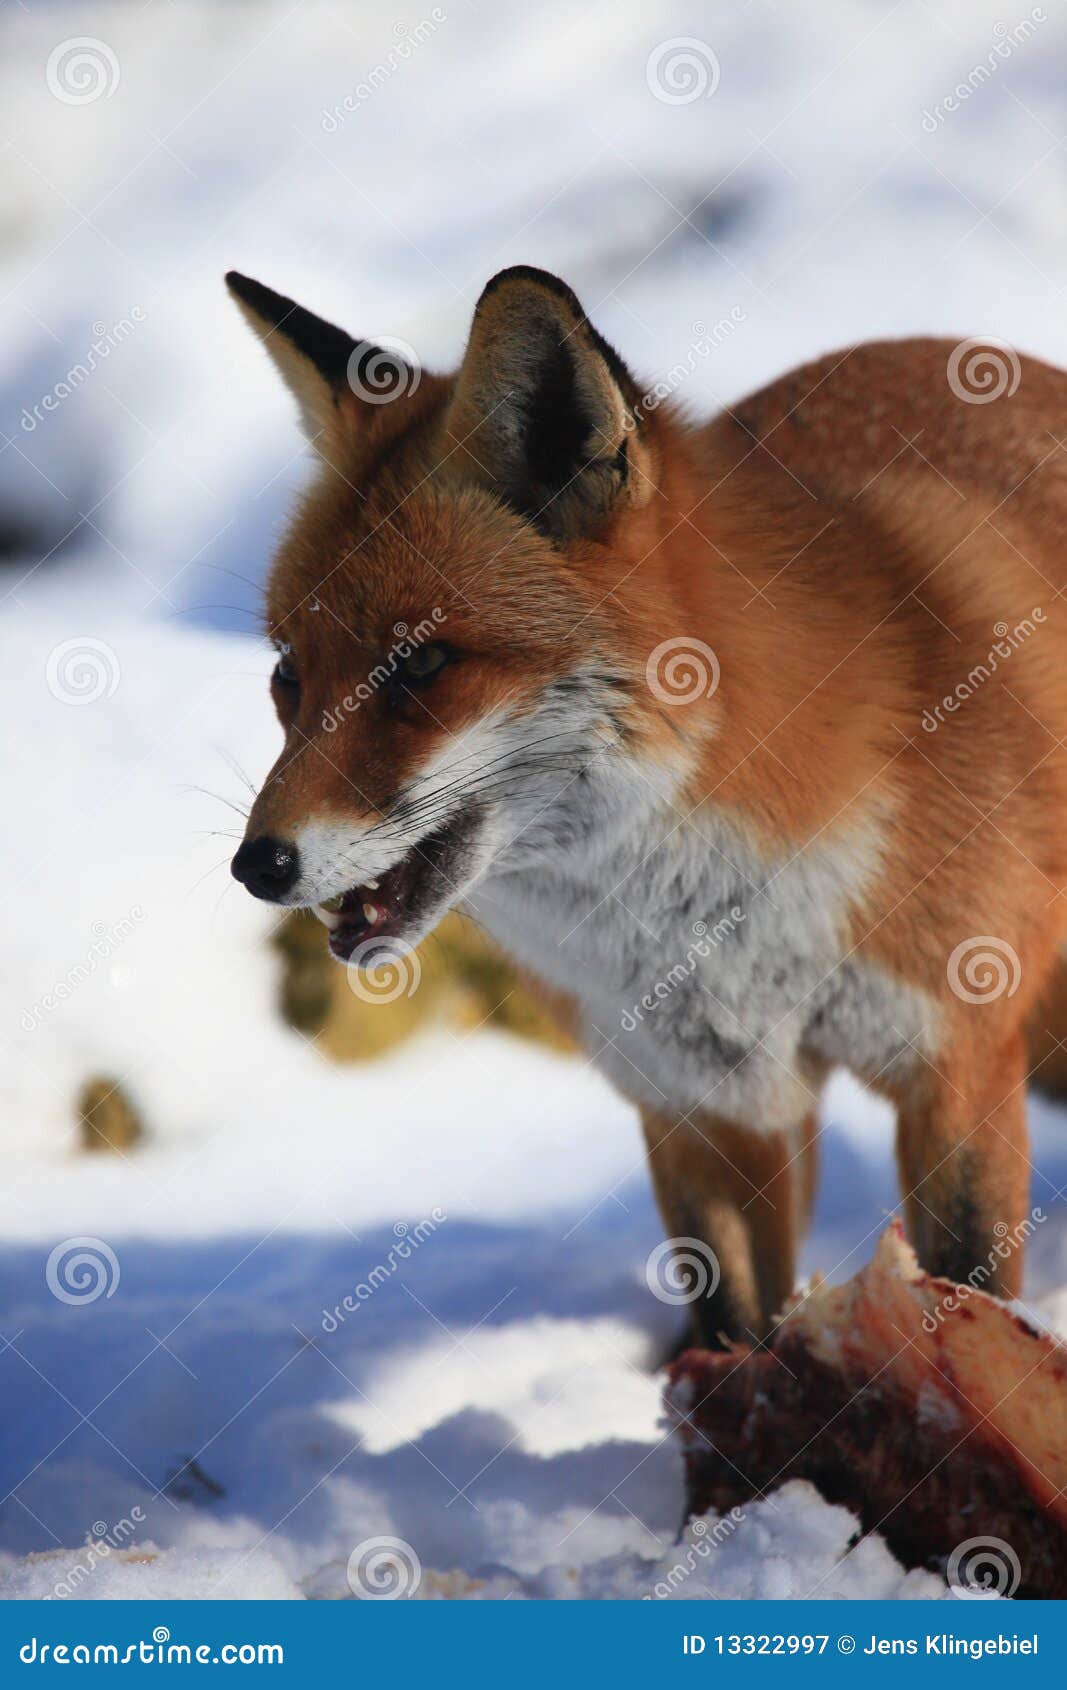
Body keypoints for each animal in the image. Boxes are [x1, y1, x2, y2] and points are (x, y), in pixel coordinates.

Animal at [227, 262, 1067, 1349]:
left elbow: (965, 1289)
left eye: (419, 664)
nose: (257, 865)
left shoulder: (954, 1064)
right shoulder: (698, 1105)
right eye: (287, 676)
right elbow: (733, 1329)